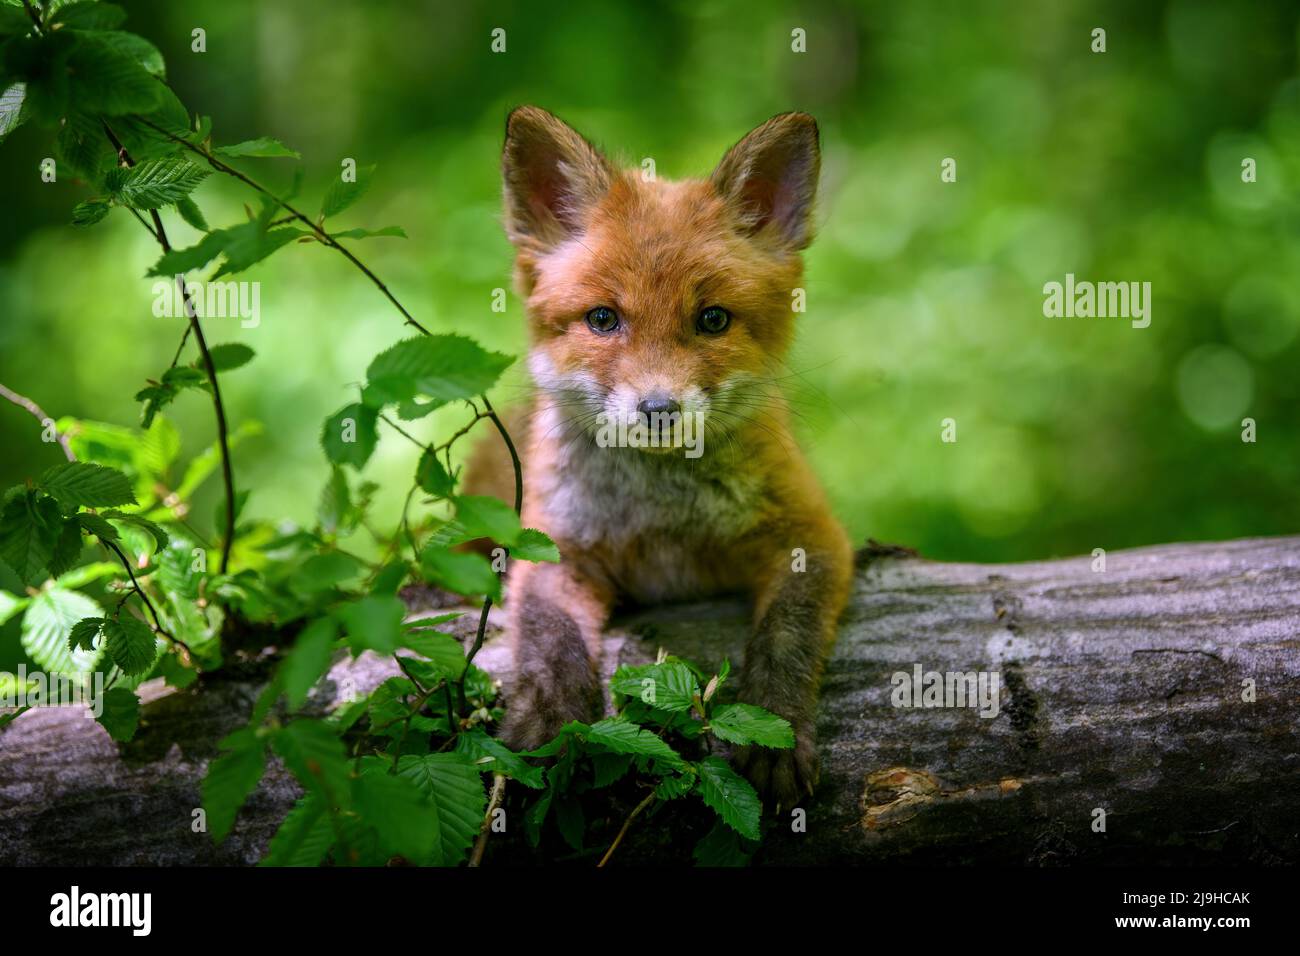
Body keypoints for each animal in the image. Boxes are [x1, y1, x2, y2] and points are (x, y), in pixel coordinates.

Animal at [467, 106, 853, 808]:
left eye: (712, 320)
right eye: (602, 319)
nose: (658, 408)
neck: (659, 515)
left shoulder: (811, 533)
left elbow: (787, 635)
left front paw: (774, 728)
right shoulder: (553, 547)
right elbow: (549, 639)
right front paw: (547, 723)